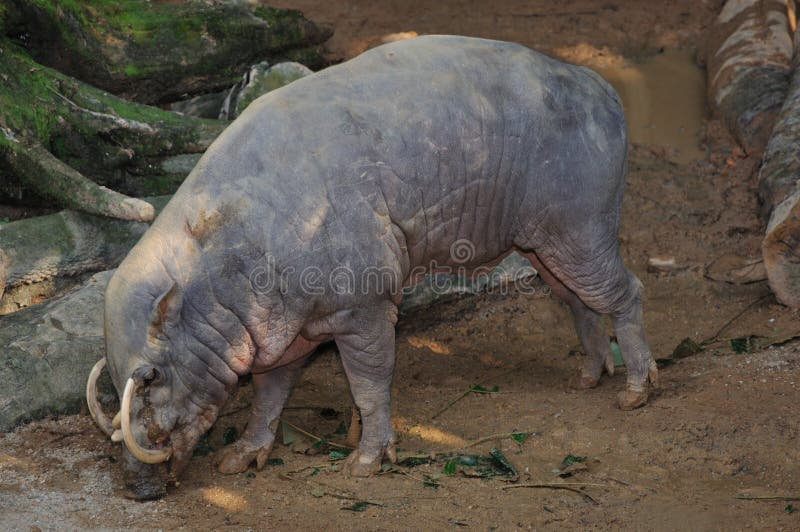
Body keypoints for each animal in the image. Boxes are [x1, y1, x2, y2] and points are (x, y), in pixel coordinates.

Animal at [86, 35, 658, 500]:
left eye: (152, 376)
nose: (136, 489)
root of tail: (605, 90)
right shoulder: (278, 331)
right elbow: (268, 395)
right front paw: (242, 457)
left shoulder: (365, 304)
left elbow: (368, 383)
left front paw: (366, 461)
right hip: (547, 245)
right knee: (578, 301)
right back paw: (586, 378)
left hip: (581, 225)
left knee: (626, 291)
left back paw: (636, 391)